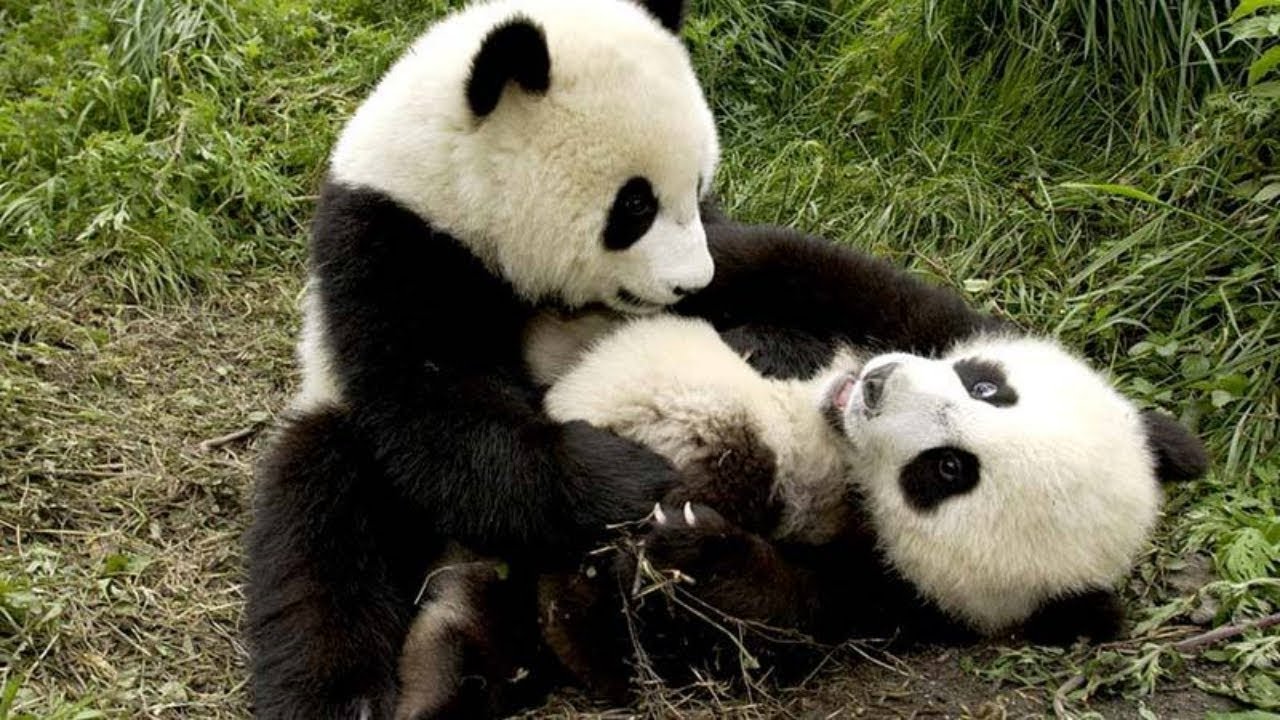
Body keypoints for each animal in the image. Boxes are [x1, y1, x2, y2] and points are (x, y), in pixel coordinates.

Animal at [243, 1, 724, 717]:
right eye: (634, 204)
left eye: (696, 185)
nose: (692, 284)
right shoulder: (391, 248)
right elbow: (434, 417)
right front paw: (631, 477)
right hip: (332, 429)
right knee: (318, 529)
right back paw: (351, 691)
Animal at [394, 220, 1208, 716]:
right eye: (988, 386)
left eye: (947, 472)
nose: (877, 385)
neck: (829, 430)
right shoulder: (920, 318)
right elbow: (805, 268)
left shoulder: (894, 603)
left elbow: (748, 632)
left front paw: (690, 550)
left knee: (485, 643)